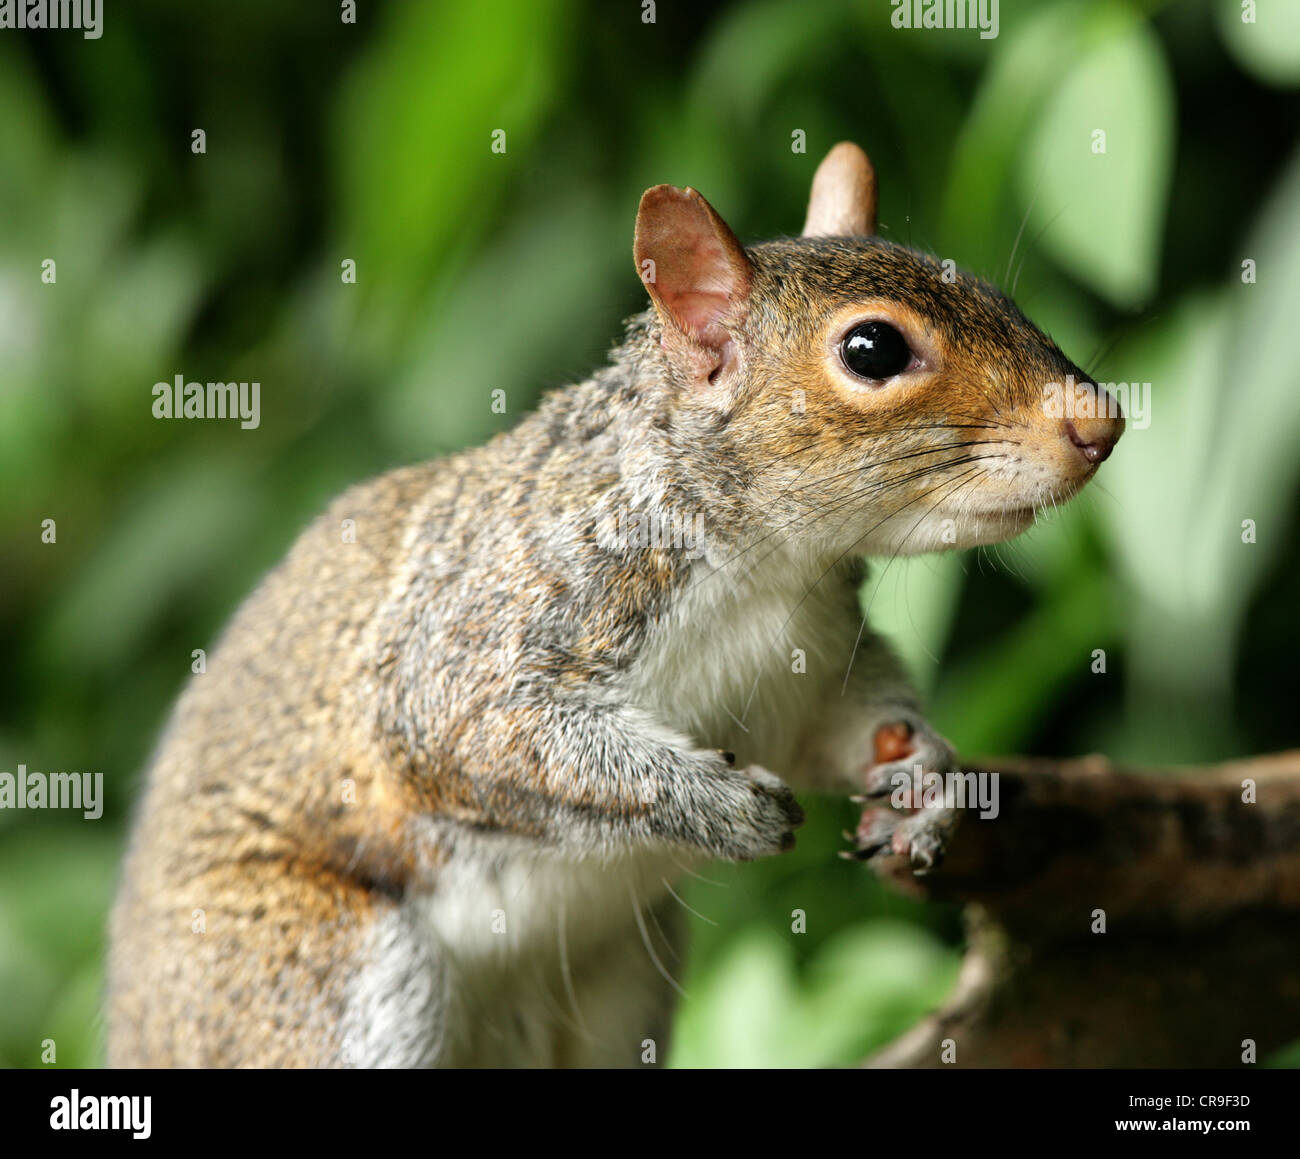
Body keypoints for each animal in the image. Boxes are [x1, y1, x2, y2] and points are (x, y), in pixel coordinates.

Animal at [106, 142, 1123, 1068]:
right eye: (872, 350)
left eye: (991, 290)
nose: (1102, 421)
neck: (769, 568)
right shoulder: (496, 623)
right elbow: (481, 730)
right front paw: (716, 805)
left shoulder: (810, 671)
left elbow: (848, 725)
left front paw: (929, 777)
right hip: (318, 972)